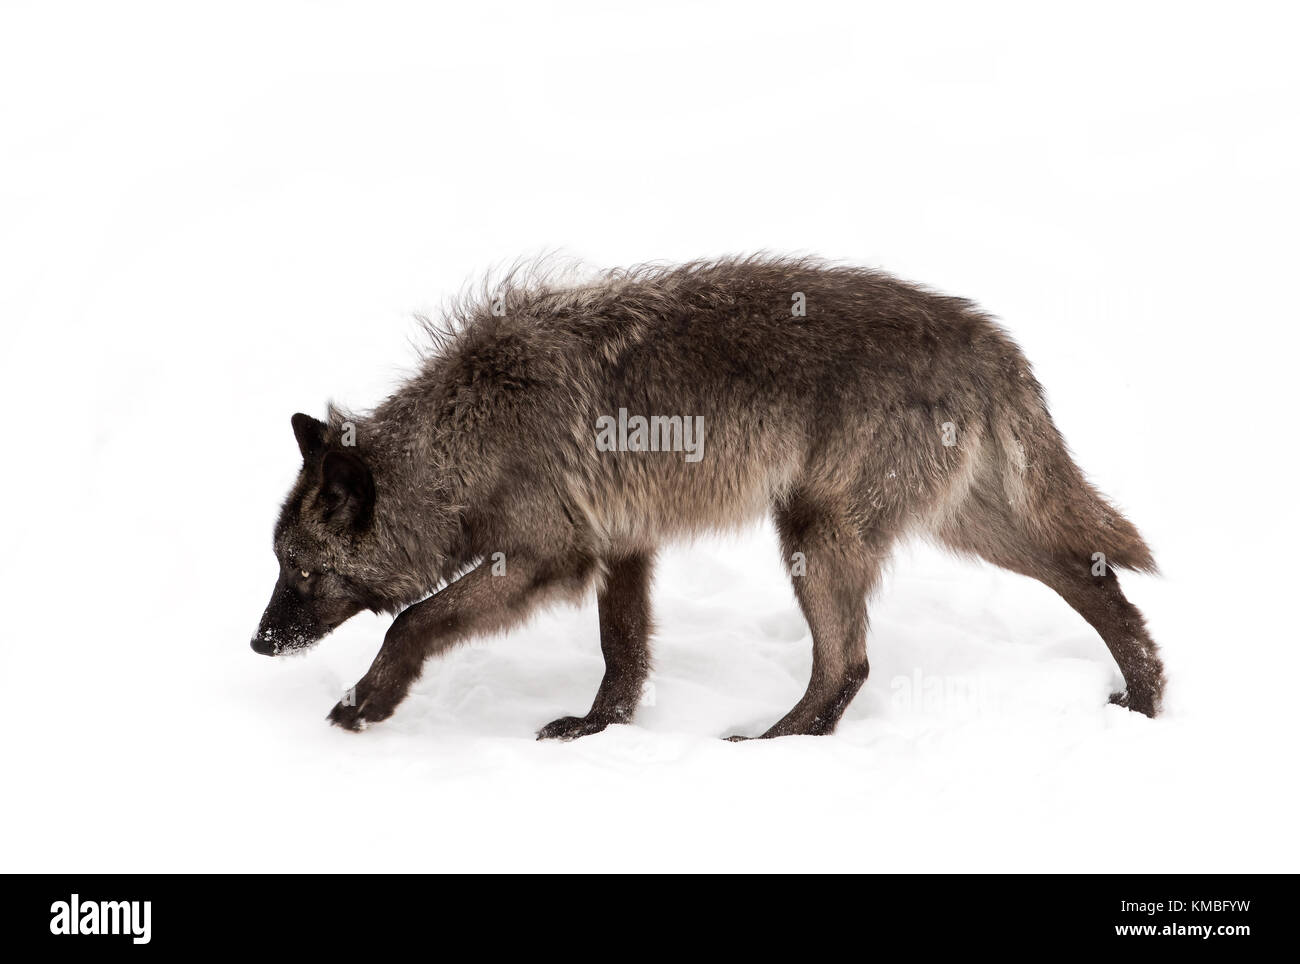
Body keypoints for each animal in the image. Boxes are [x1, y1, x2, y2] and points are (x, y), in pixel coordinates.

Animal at [251, 256, 1164, 739]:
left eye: (302, 571)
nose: (259, 644)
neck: (470, 431)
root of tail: (983, 334)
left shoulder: (548, 560)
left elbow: (411, 620)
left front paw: (365, 703)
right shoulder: (622, 548)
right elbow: (624, 655)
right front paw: (596, 731)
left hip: (817, 533)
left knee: (849, 665)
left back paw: (768, 745)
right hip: (967, 526)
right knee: (1096, 579)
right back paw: (1146, 699)